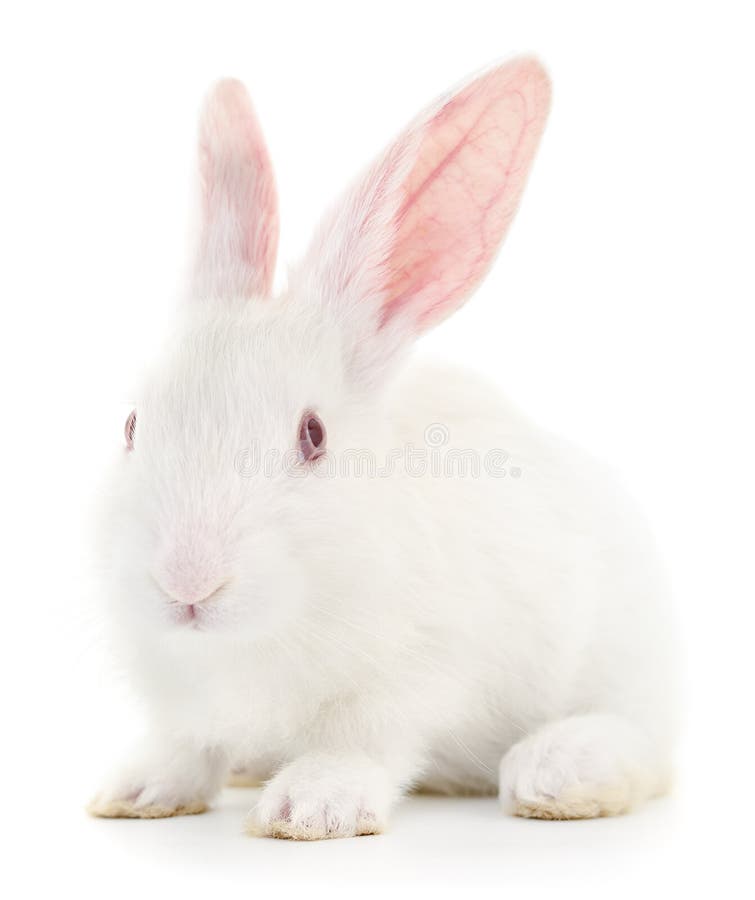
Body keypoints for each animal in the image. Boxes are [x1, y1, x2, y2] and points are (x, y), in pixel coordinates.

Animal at [89, 57, 676, 840]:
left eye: (313, 435)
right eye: (132, 426)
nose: (187, 581)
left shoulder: (412, 681)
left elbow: (359, 743)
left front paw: (310, 808)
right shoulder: (180, 695)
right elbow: (185, 746)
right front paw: (137, 791)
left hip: (622, 666)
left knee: (641, 746)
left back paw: (558, 772)